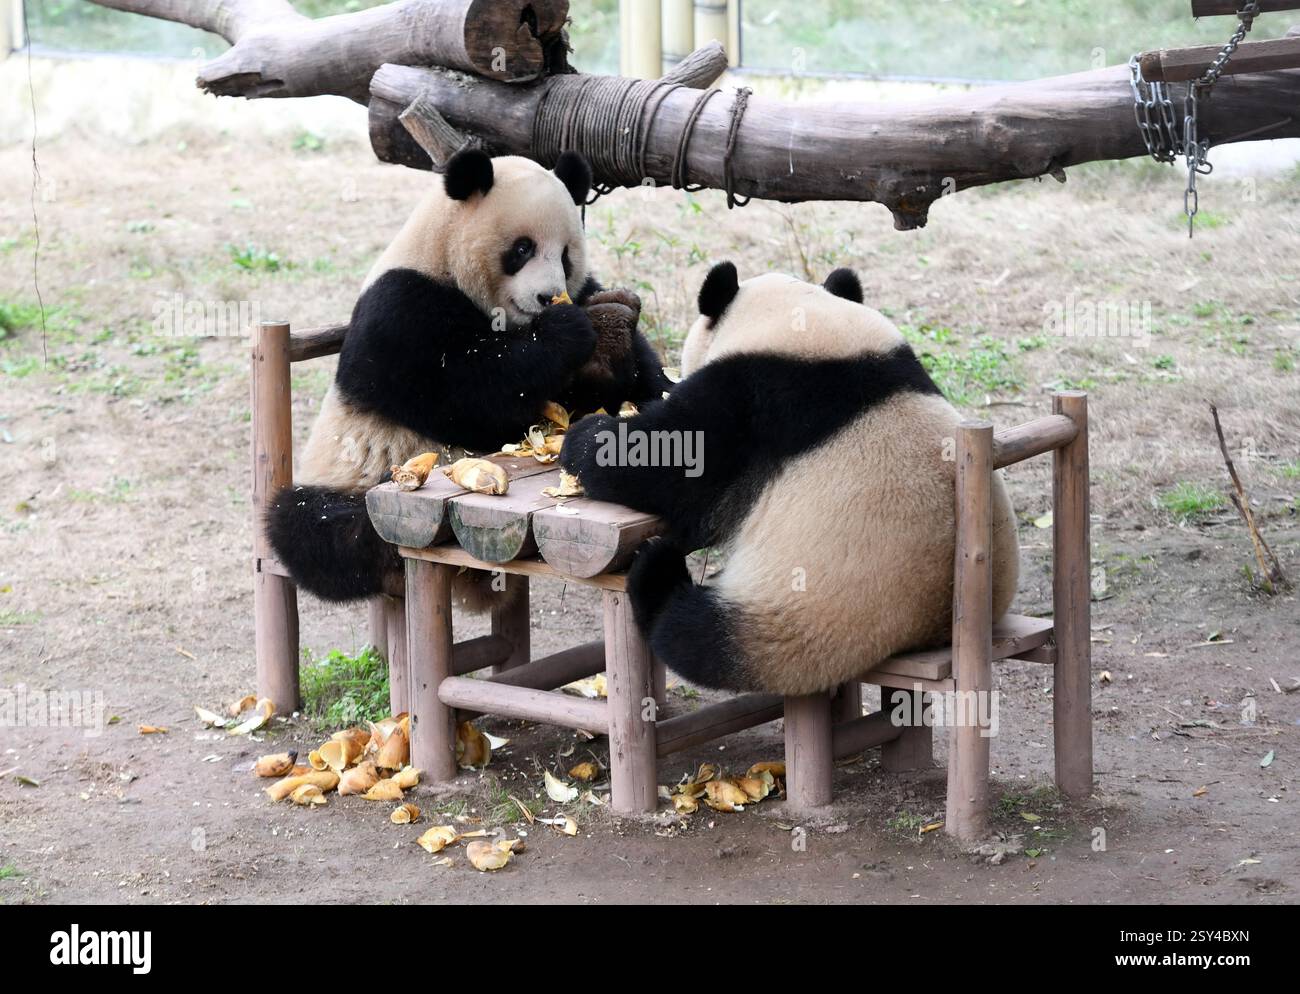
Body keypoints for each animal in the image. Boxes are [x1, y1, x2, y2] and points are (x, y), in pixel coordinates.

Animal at [267, 149, 672, 608]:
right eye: (522, 248)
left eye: (566, 254)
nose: (547, 297)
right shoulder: (401, 308)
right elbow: (464, 396)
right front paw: (569, 331)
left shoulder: (583, 288)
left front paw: (613, 329)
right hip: (348, 478)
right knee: (310, 523)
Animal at [559, 262, 1020, 696]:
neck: (806, 325)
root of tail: (936, 631)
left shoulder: (752, 395)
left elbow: (674, 461)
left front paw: (585, 440)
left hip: (813, 620)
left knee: (698, 637)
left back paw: (659, 572)